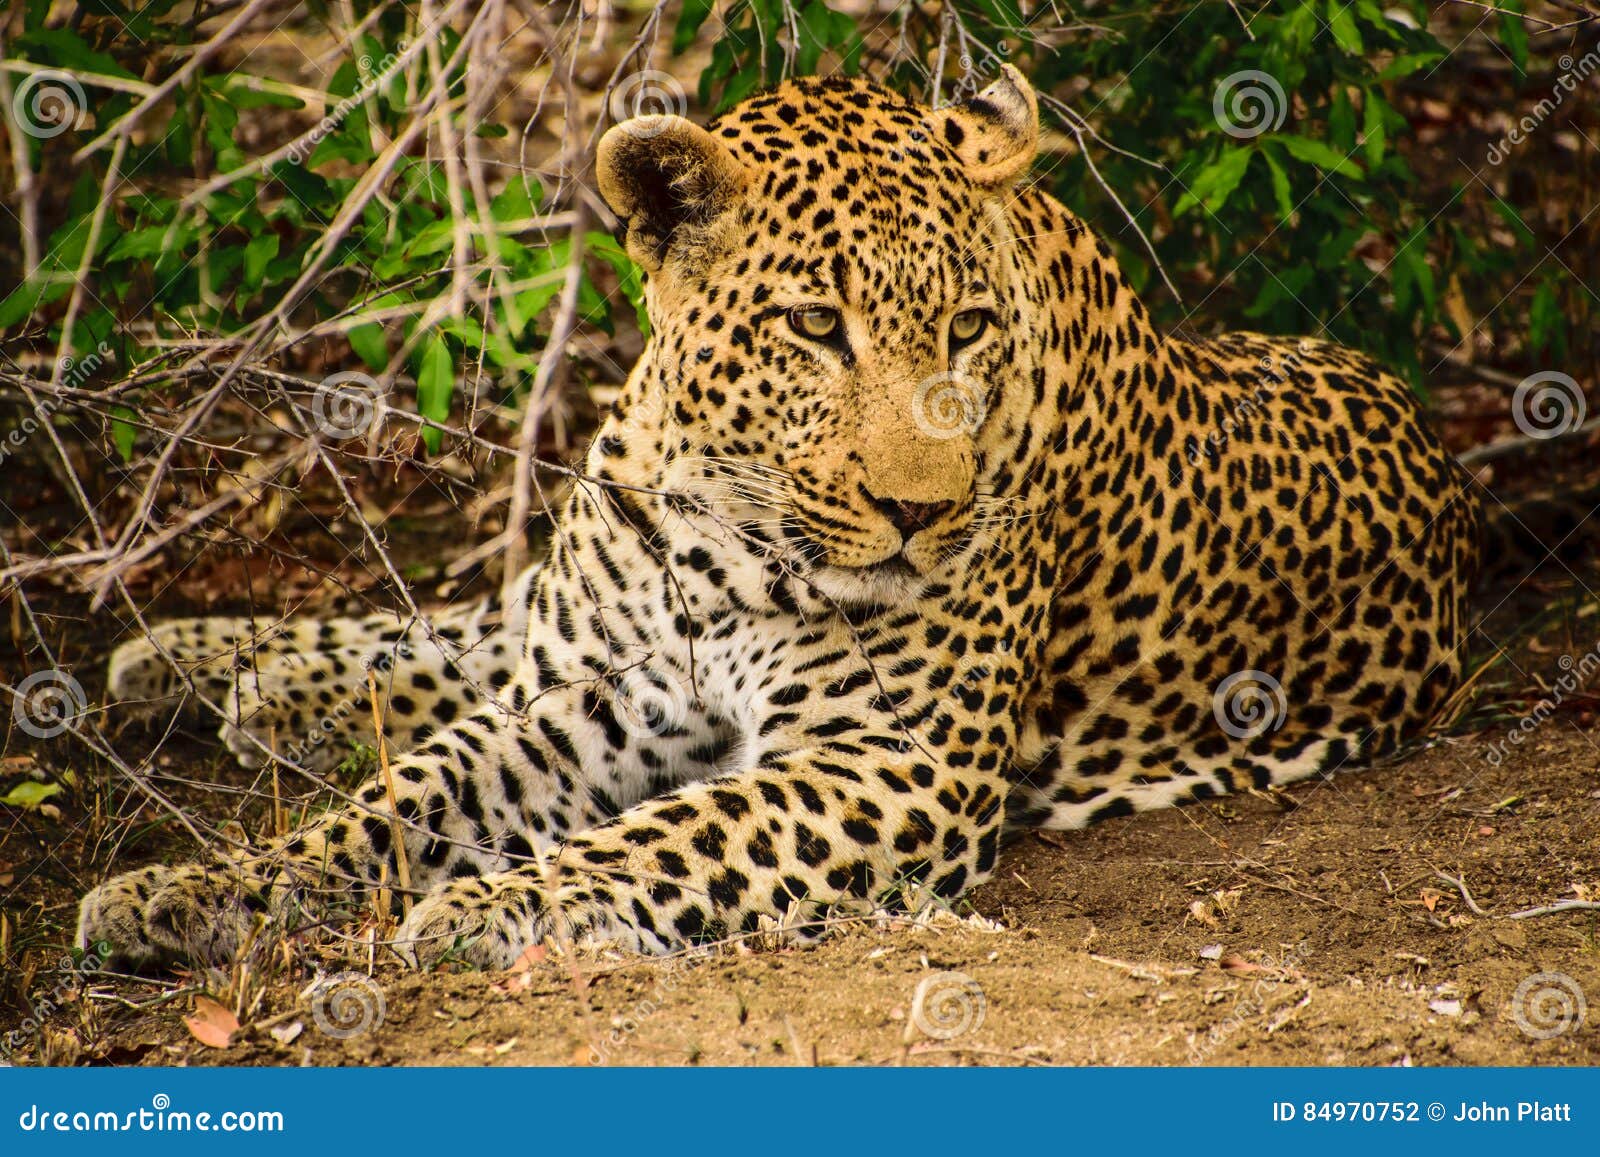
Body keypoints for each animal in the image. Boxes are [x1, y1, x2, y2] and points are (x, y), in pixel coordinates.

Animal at [78, 65, 1482, 971]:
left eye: (969, 327)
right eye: (816, 325)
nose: (922, 512)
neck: (720, 519)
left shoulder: (893, 757)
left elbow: (680, 827)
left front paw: (490, 908)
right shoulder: (589, 695)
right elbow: (395, 801)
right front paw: (184, 891)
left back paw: (233, 685)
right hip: (557, 624)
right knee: (473, 627)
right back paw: (204, 662)